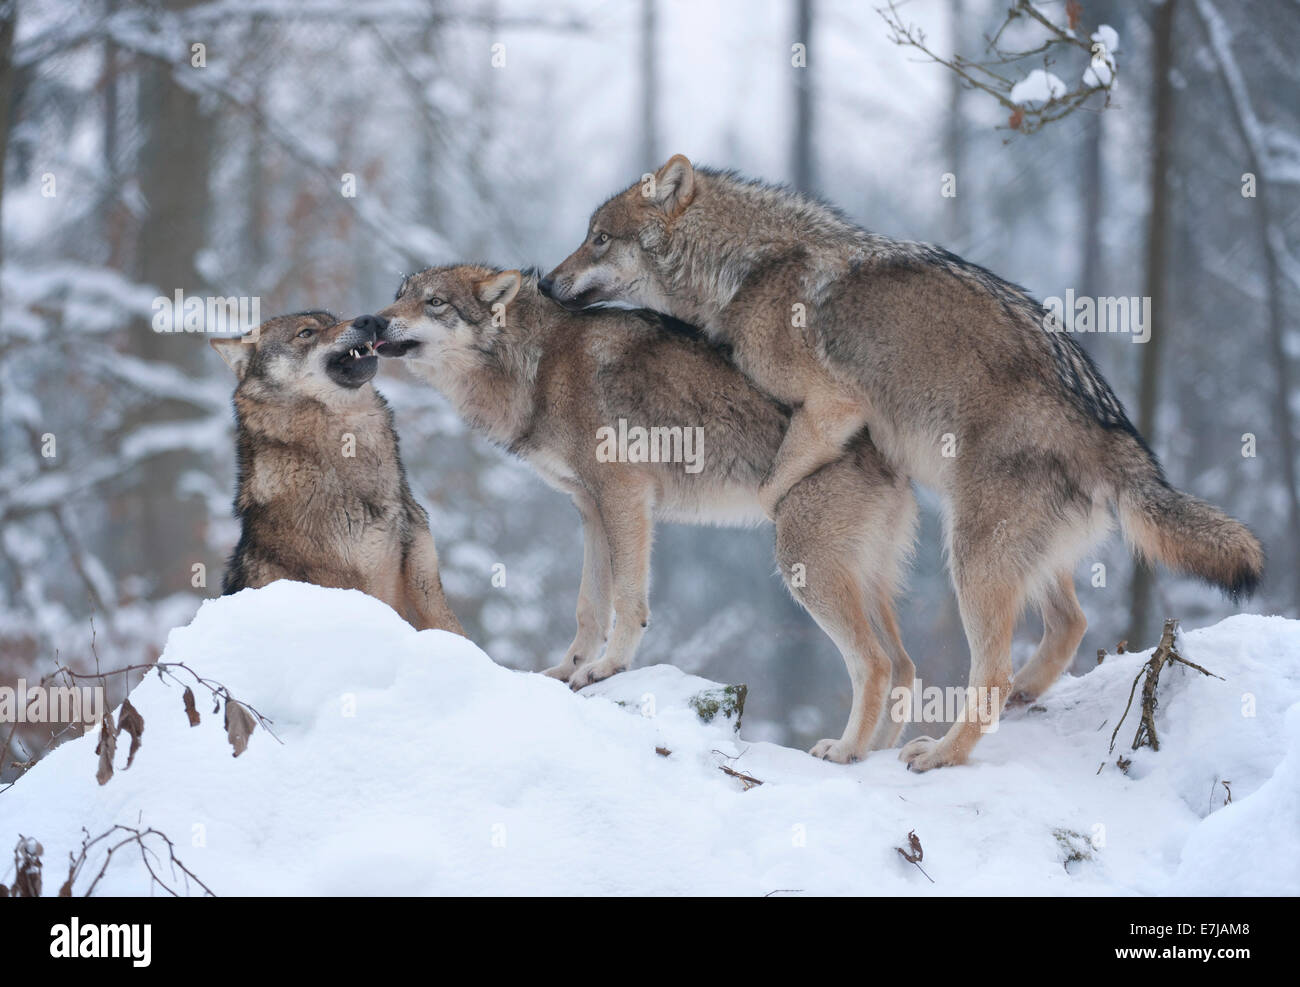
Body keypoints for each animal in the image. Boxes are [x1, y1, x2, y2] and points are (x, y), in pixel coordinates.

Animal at [361, 266, 920, 759]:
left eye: (434, 302)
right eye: (399, 296)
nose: (373, 322)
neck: (539, 364)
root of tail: (893, 457)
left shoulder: (623, 495)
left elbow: (628, 600)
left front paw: (609, 667)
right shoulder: (589, 509)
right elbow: (589, 606)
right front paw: (568, 671)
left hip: (802, 564)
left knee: (873, 663)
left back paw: (845, 751)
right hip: (862, 579)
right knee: (906, 665)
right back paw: (877, 756)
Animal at [543, 154, 1263, 769]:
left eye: (598, 239)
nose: (547, 281)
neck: (746, 268)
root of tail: (1118, 432)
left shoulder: (833, 404)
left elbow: (779, 479)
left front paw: (774, 499)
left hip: (971, 559)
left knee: (990, 669)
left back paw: (941, 753)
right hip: (1016, 559)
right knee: (1071, 624)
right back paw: (1021, 697)